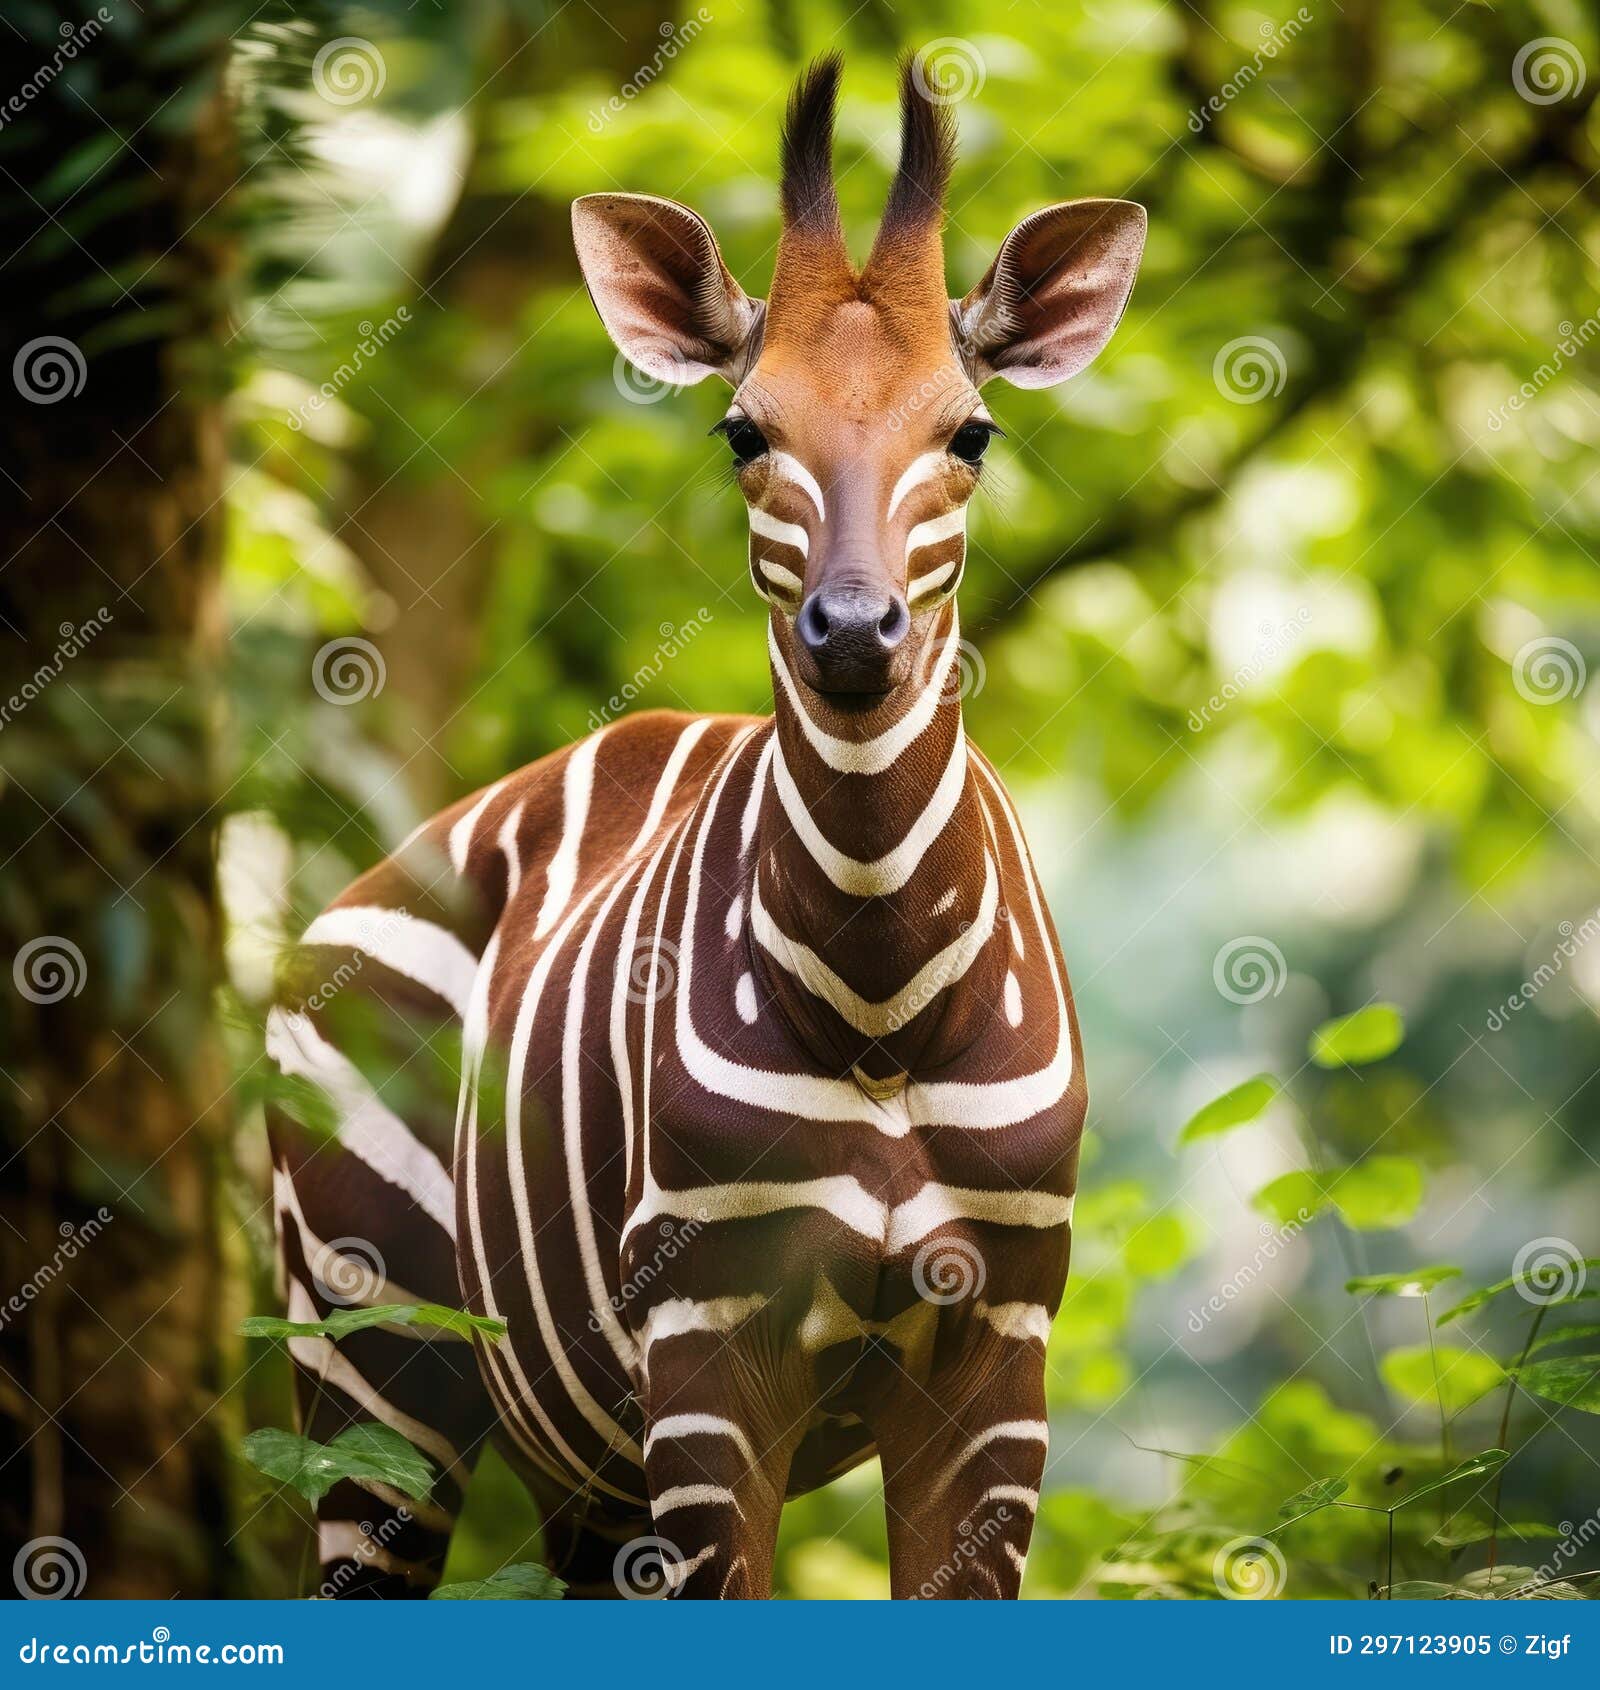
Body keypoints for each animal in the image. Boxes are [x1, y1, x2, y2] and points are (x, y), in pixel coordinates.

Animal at [265, 52, 1145, 1600]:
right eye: (746, 432)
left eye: (970, 434)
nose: (853, 632)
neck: (883, 1010)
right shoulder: (710, 1355)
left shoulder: (995, 1363)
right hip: (374, 1374)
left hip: (573, 1459)